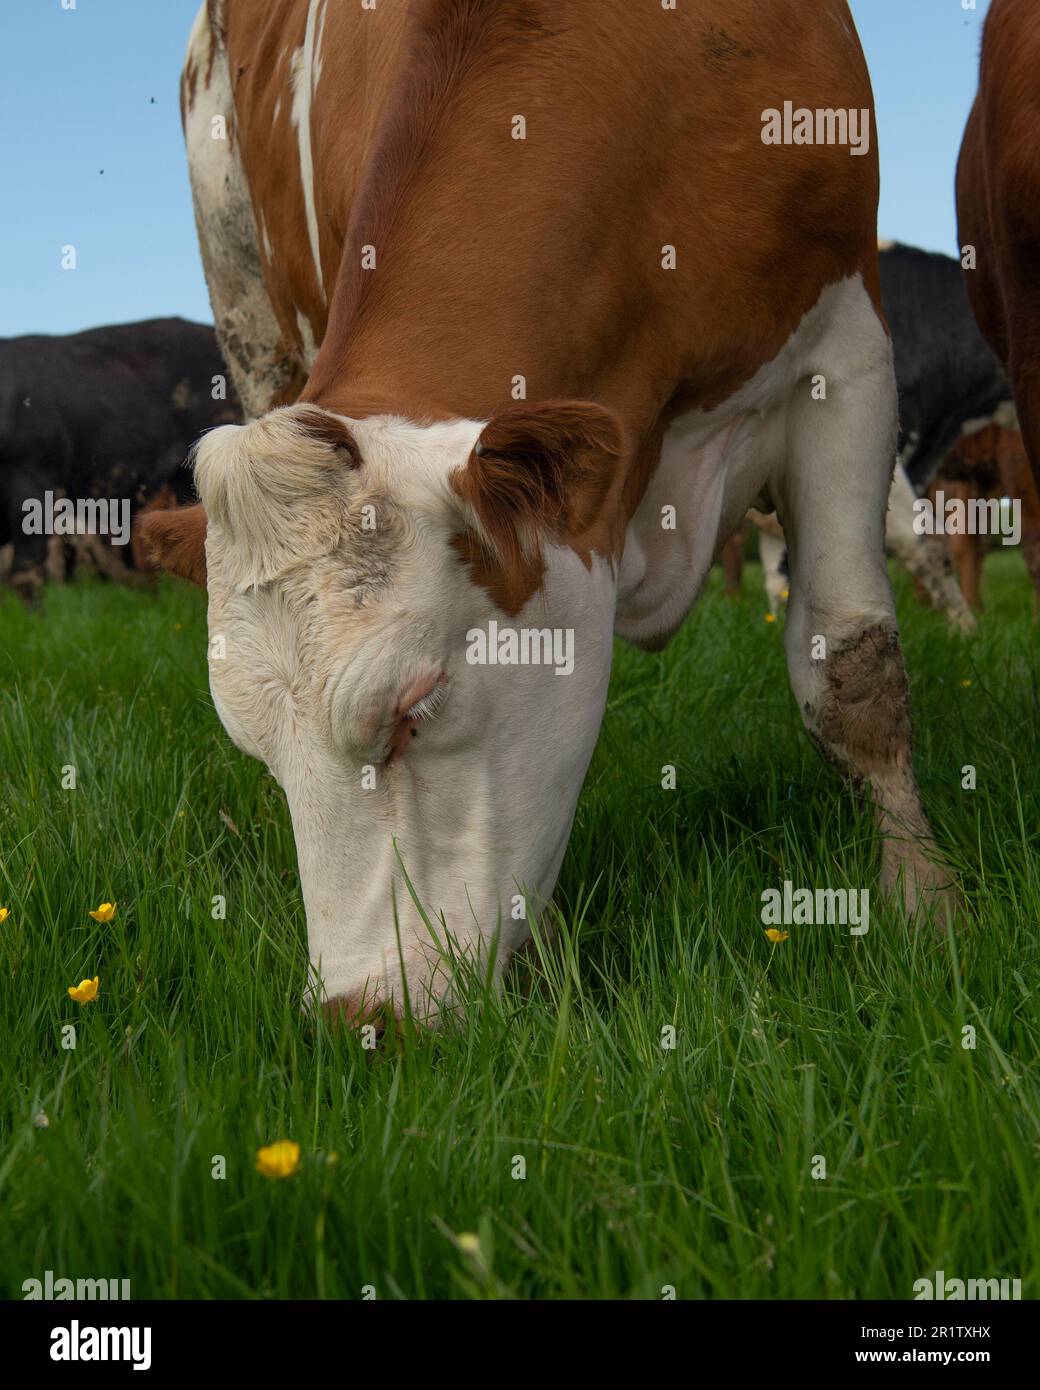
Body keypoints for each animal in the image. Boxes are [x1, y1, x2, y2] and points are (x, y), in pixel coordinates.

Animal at [141, 0, 958, 1027]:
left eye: (414, 709)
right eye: (261, 755)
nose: (360, 1020)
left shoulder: (843, 348)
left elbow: (855, 672)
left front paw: (923, 900)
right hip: (246, 304)